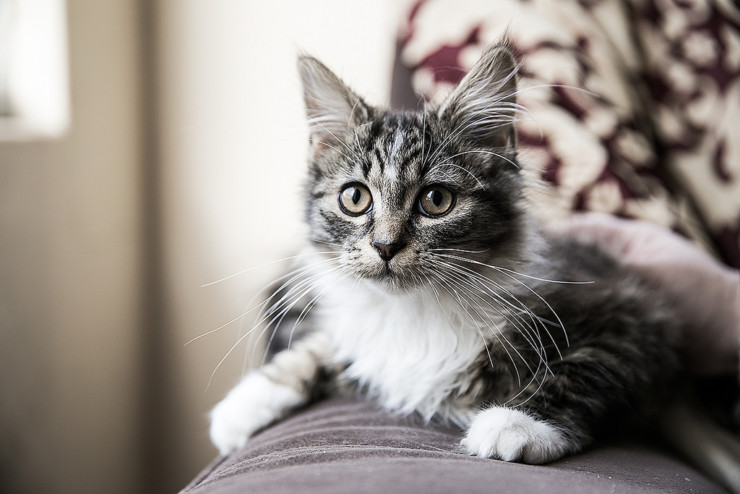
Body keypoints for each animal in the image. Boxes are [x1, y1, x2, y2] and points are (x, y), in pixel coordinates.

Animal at [210, 45, 684, 464]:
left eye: (436, 200)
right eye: (355, 198)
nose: (385, 246)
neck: (413, 311)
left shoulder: (633, 314)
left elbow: (584, 370)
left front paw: (518, 424)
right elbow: (320, 347)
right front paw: (243, 405)